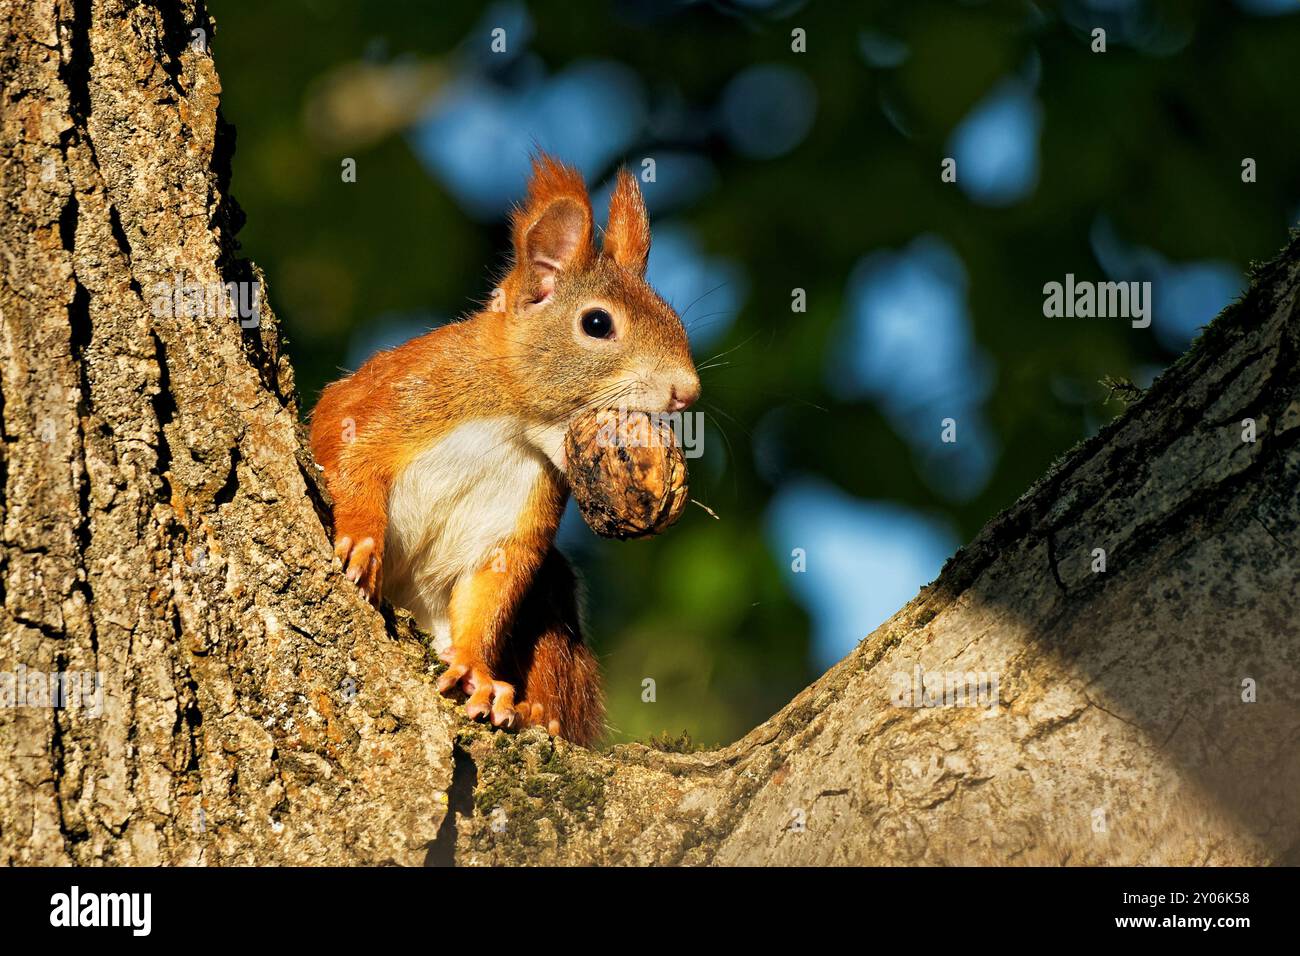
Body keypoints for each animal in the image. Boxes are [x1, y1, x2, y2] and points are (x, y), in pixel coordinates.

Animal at [309, 154, 700, 746]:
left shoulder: (518, 513)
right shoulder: (397, 396)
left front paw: (477, 672)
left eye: (673, 317)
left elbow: (491, 588)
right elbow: (349, 451)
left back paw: (540, 711)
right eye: (597, 323)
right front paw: (360, 538)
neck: (511, 429)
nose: (688, 391)